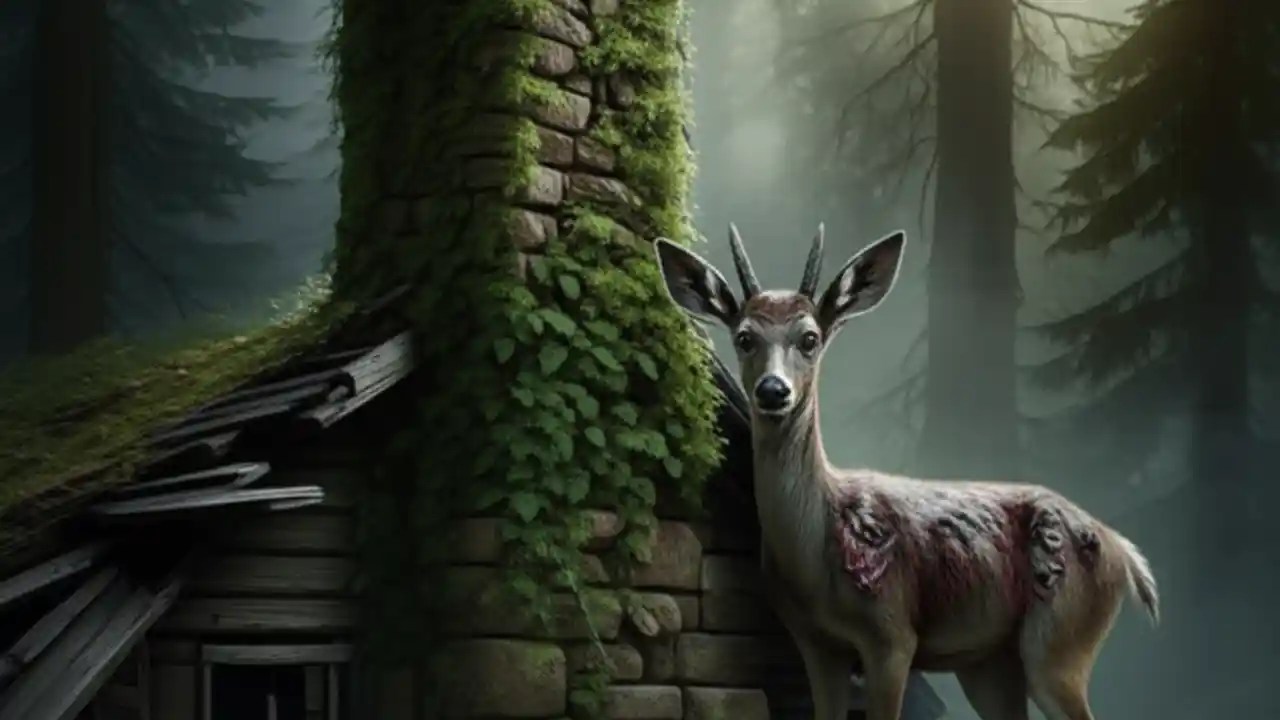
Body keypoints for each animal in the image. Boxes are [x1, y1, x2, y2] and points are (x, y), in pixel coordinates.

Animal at [653, 226, 1159, 720]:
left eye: (810, 338)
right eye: (744, 337)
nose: (773, 390)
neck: (818, 544)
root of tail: (1125, 554)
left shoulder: (892, 633)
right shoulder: (816, 643)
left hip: (1062, 638)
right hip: (989, 662)